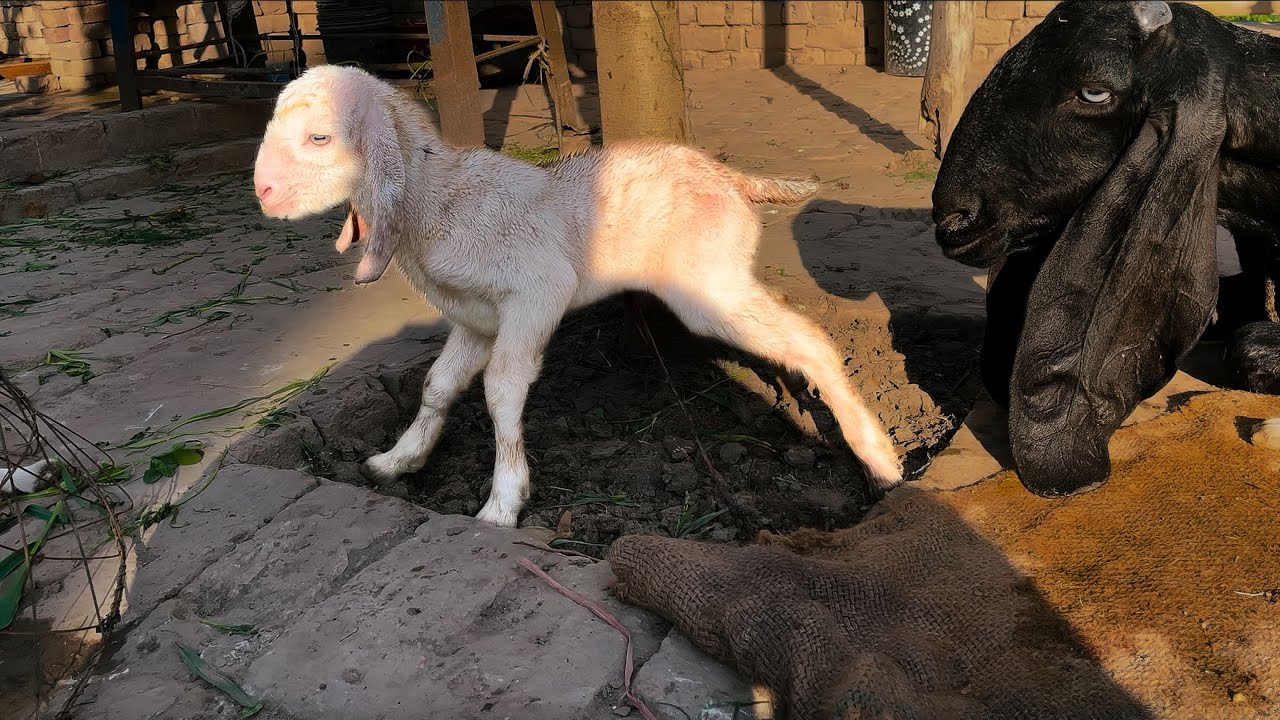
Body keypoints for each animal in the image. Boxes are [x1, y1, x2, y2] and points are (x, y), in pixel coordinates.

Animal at [252, 65, 903, 527]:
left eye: (319, 137)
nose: (263, 192)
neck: (439, 199)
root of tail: (733, 179)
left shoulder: (536, 293)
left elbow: (502, 391)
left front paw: (503, 504)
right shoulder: (477, 319)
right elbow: (438, 385)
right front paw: (396, 461)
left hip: (707, 284)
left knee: (812, 339)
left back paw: (880, 462)